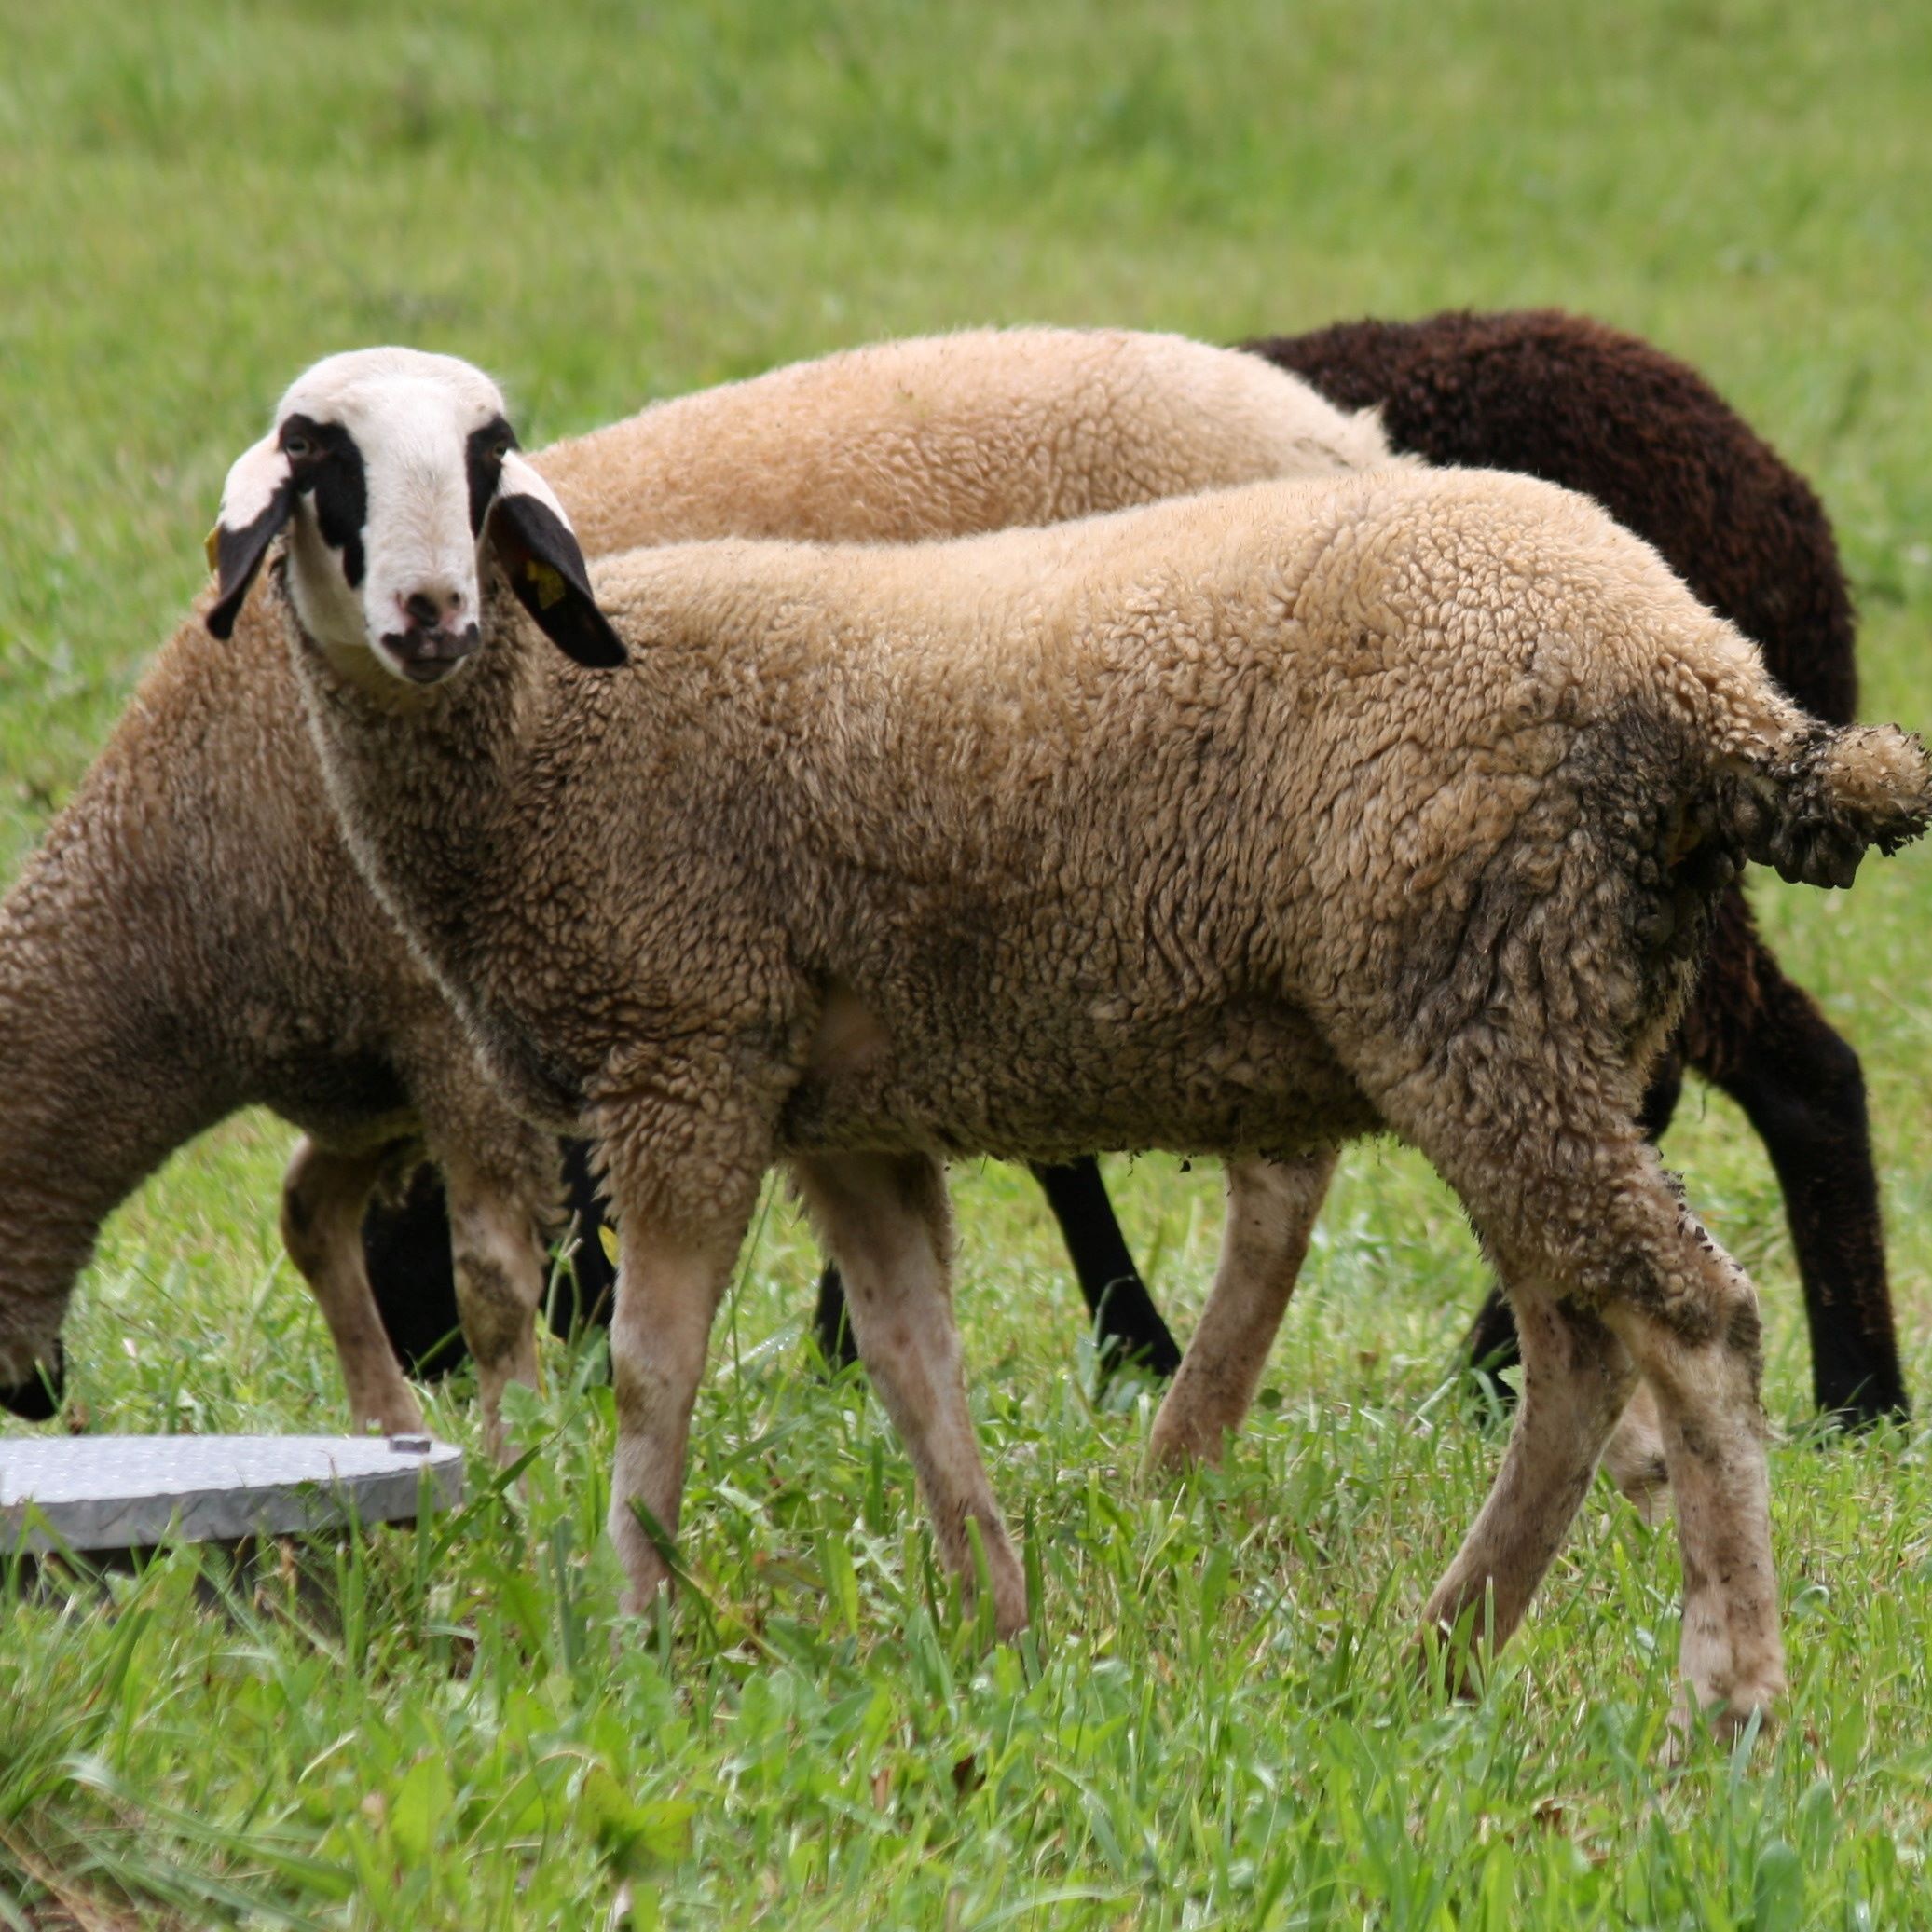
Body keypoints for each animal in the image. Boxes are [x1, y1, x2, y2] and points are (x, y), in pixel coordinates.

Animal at [0, 326, 1385, 1433]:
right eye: (311, 457)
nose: (36, 1396)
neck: (174, 916)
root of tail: (1346, 445)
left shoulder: (450, 1038)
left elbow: (492, 1264)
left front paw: (518, 1443)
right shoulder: (375, 1067)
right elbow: (309, 1217)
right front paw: (395, 1419)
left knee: (1251, 1176)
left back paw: (1165, 1400)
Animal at [220, 346, 1932, 1730]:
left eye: (488, 457)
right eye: (320, 462)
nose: (432, 615)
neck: (540, 743)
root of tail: (1705, 681)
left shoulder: (688, 1050)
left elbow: (654, 1367)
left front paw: (635, 1620)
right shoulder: (839, 1113)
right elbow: (915, 1364)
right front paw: (997, 1625)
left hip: (1480, 1005)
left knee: (1688, 1321)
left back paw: (1722, 1699)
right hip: (1539, 1019)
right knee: (1578, 1340)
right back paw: (1441, 1655)